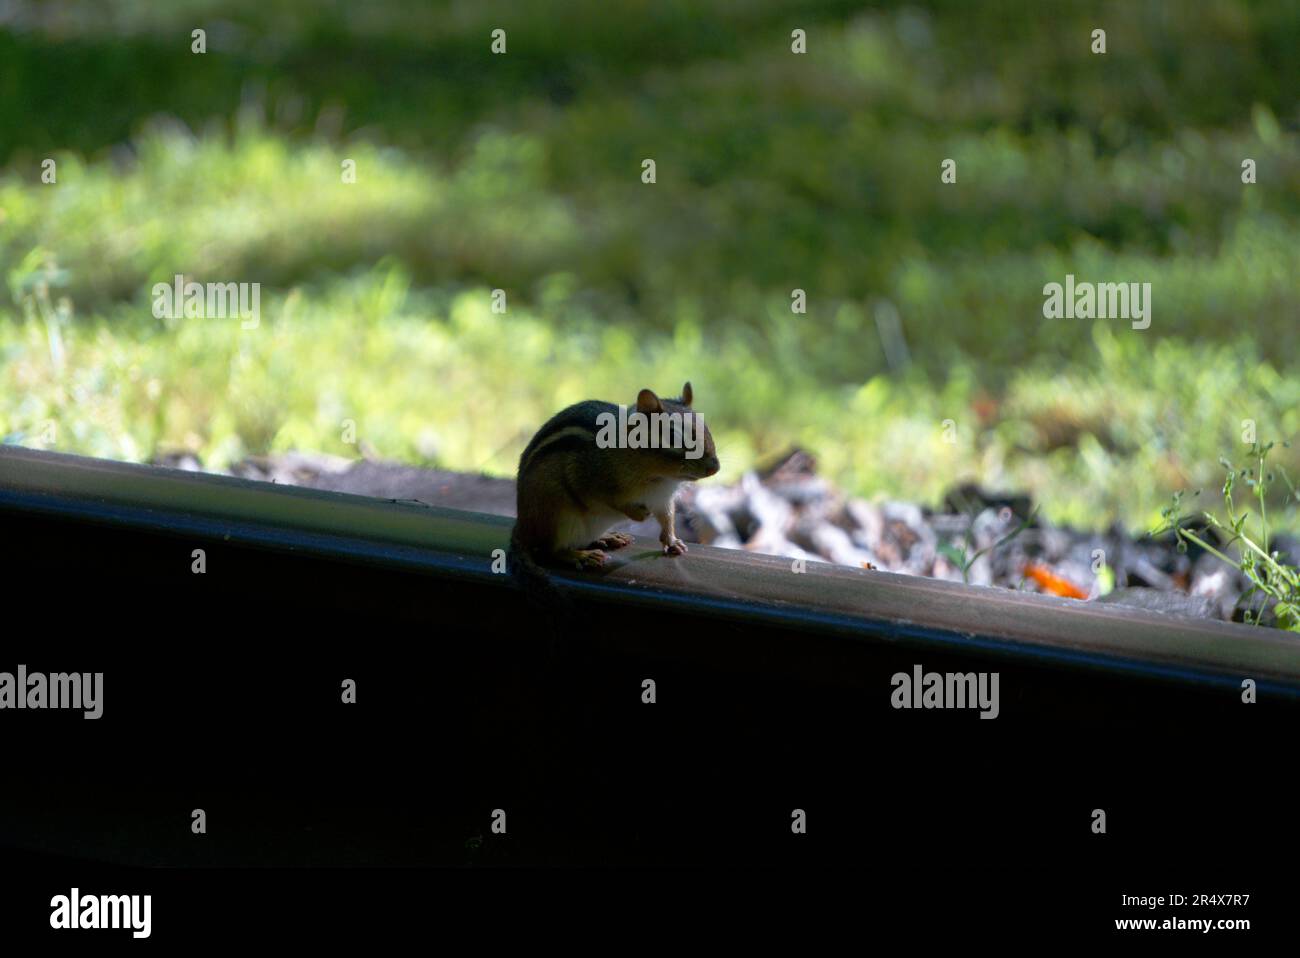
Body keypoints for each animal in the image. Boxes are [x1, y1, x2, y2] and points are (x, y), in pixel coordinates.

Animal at [509, 382, 720, 585]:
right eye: (674, 436)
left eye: (707, 429)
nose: (715, 468)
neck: (660, 477)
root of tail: (523, 528)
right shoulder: (587, 478)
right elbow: (610, 501)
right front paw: (638, 514)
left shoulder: (662, 498)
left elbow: (667, 518)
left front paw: (672, 541)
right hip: (558, 518)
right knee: (550, 550)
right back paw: (581, 556)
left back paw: (608, 537)